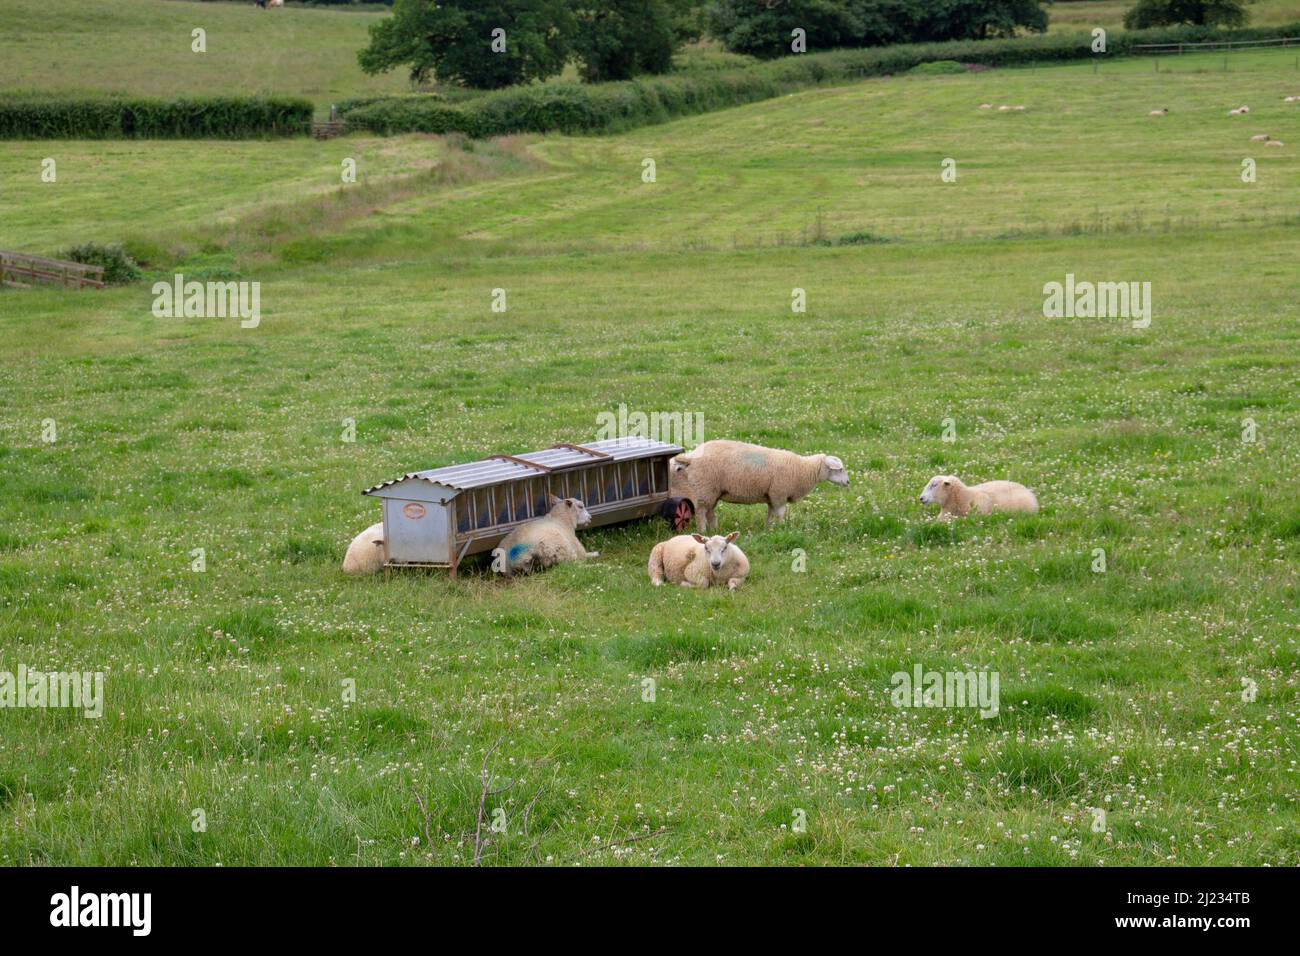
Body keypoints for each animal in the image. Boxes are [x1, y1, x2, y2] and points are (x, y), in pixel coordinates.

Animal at [670, 439, 849, 532]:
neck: (803, 469)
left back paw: (715, 529)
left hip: (711, 491)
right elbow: (780, 513)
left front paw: (768, 529)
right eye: (839, 469)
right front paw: (783, 527)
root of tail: (691, 457)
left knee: (710, 512)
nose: (848, 483)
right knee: (700, 511)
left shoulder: (771, 496)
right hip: (705, 488)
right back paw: (703, 531)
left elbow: (770, 513)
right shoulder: (779, 493)